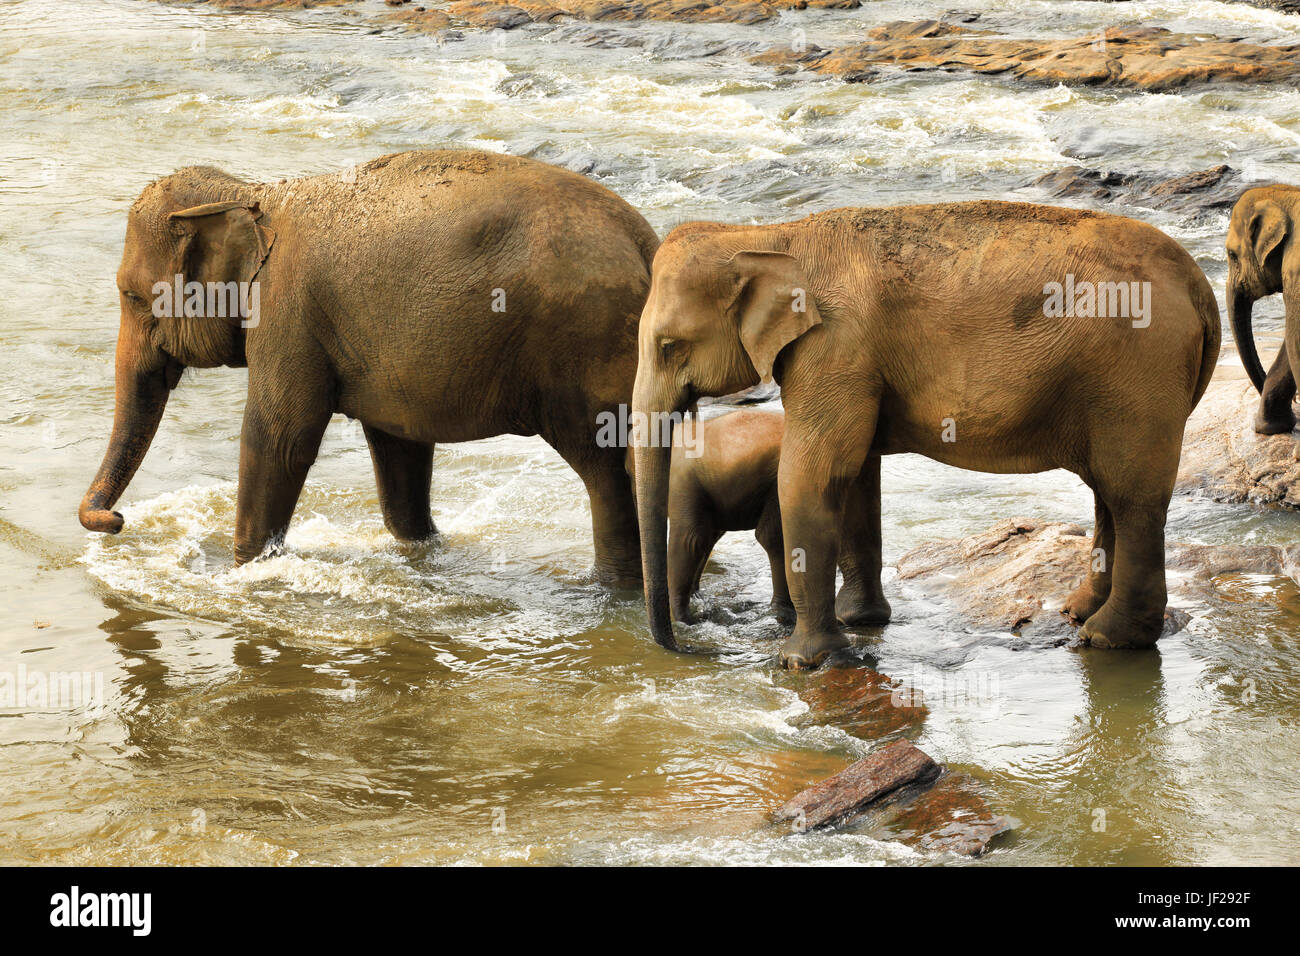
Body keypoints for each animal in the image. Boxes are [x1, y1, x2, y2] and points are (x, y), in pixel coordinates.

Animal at [79, 150, 659, 585]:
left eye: (132, 296)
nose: (118, 520)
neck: (251, 195)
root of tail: (645, 244)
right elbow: (399, 446)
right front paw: (420, 549)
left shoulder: (288, 315)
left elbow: (279, 439)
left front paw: (241, 571)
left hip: (585, 346)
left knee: (606, 473)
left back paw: (613, 590)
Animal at [631, 201, 1220, 668]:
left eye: (668, 345)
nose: (685, 646)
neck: (772, 236)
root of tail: (1199, 285)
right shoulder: (851, 362)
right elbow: (857, 476)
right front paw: (860, 619)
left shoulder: (832, 347)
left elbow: (814, 474)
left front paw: (803, 661)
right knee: (1108, 492)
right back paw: (1079, 611)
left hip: (1138, 373)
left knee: (1131, 496)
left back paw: (1108, 639)